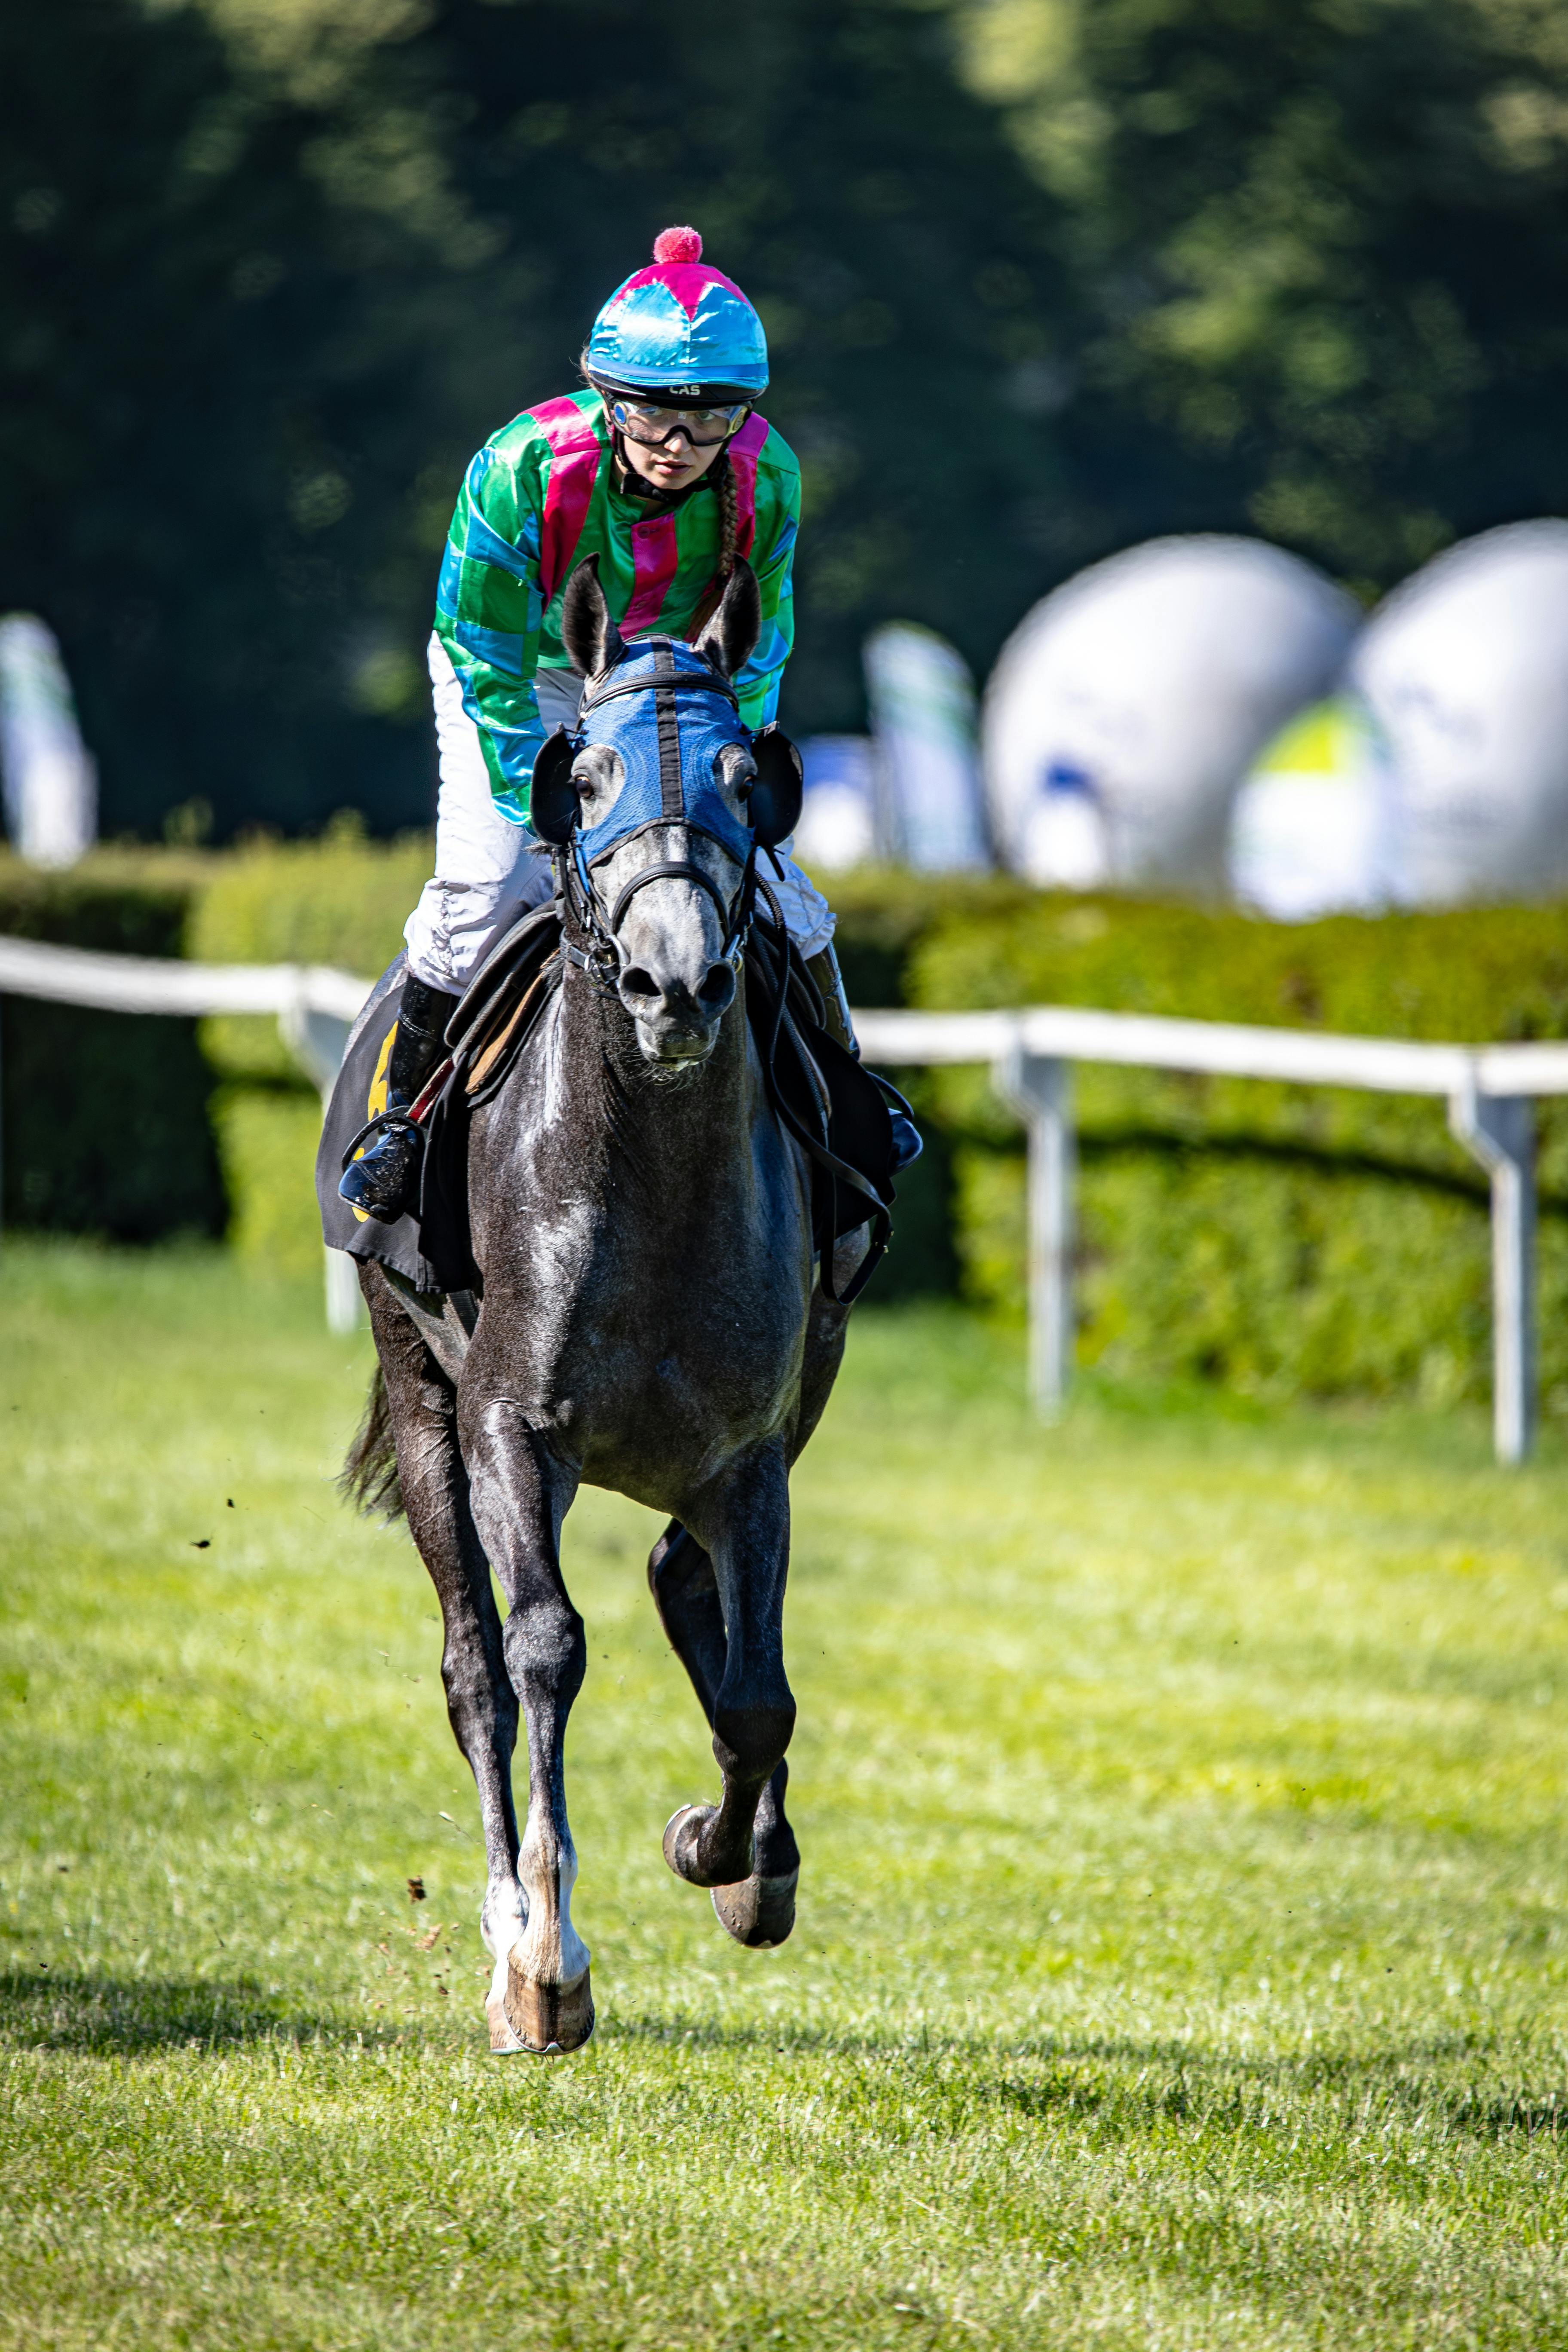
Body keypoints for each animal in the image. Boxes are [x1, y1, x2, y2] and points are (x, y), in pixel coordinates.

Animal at [345, 555, 869, 2054]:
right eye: (581, 779)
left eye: (753, 778)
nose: (674, 982)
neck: (650, 1174)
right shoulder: (512, 1426)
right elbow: (540, 1650)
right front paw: (547, 1959)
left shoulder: (752, 1453)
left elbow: (757, 1696)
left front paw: (730, 1854)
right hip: (421, 1398)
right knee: (471, 1665)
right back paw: (505, 1927)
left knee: (686, 1582)